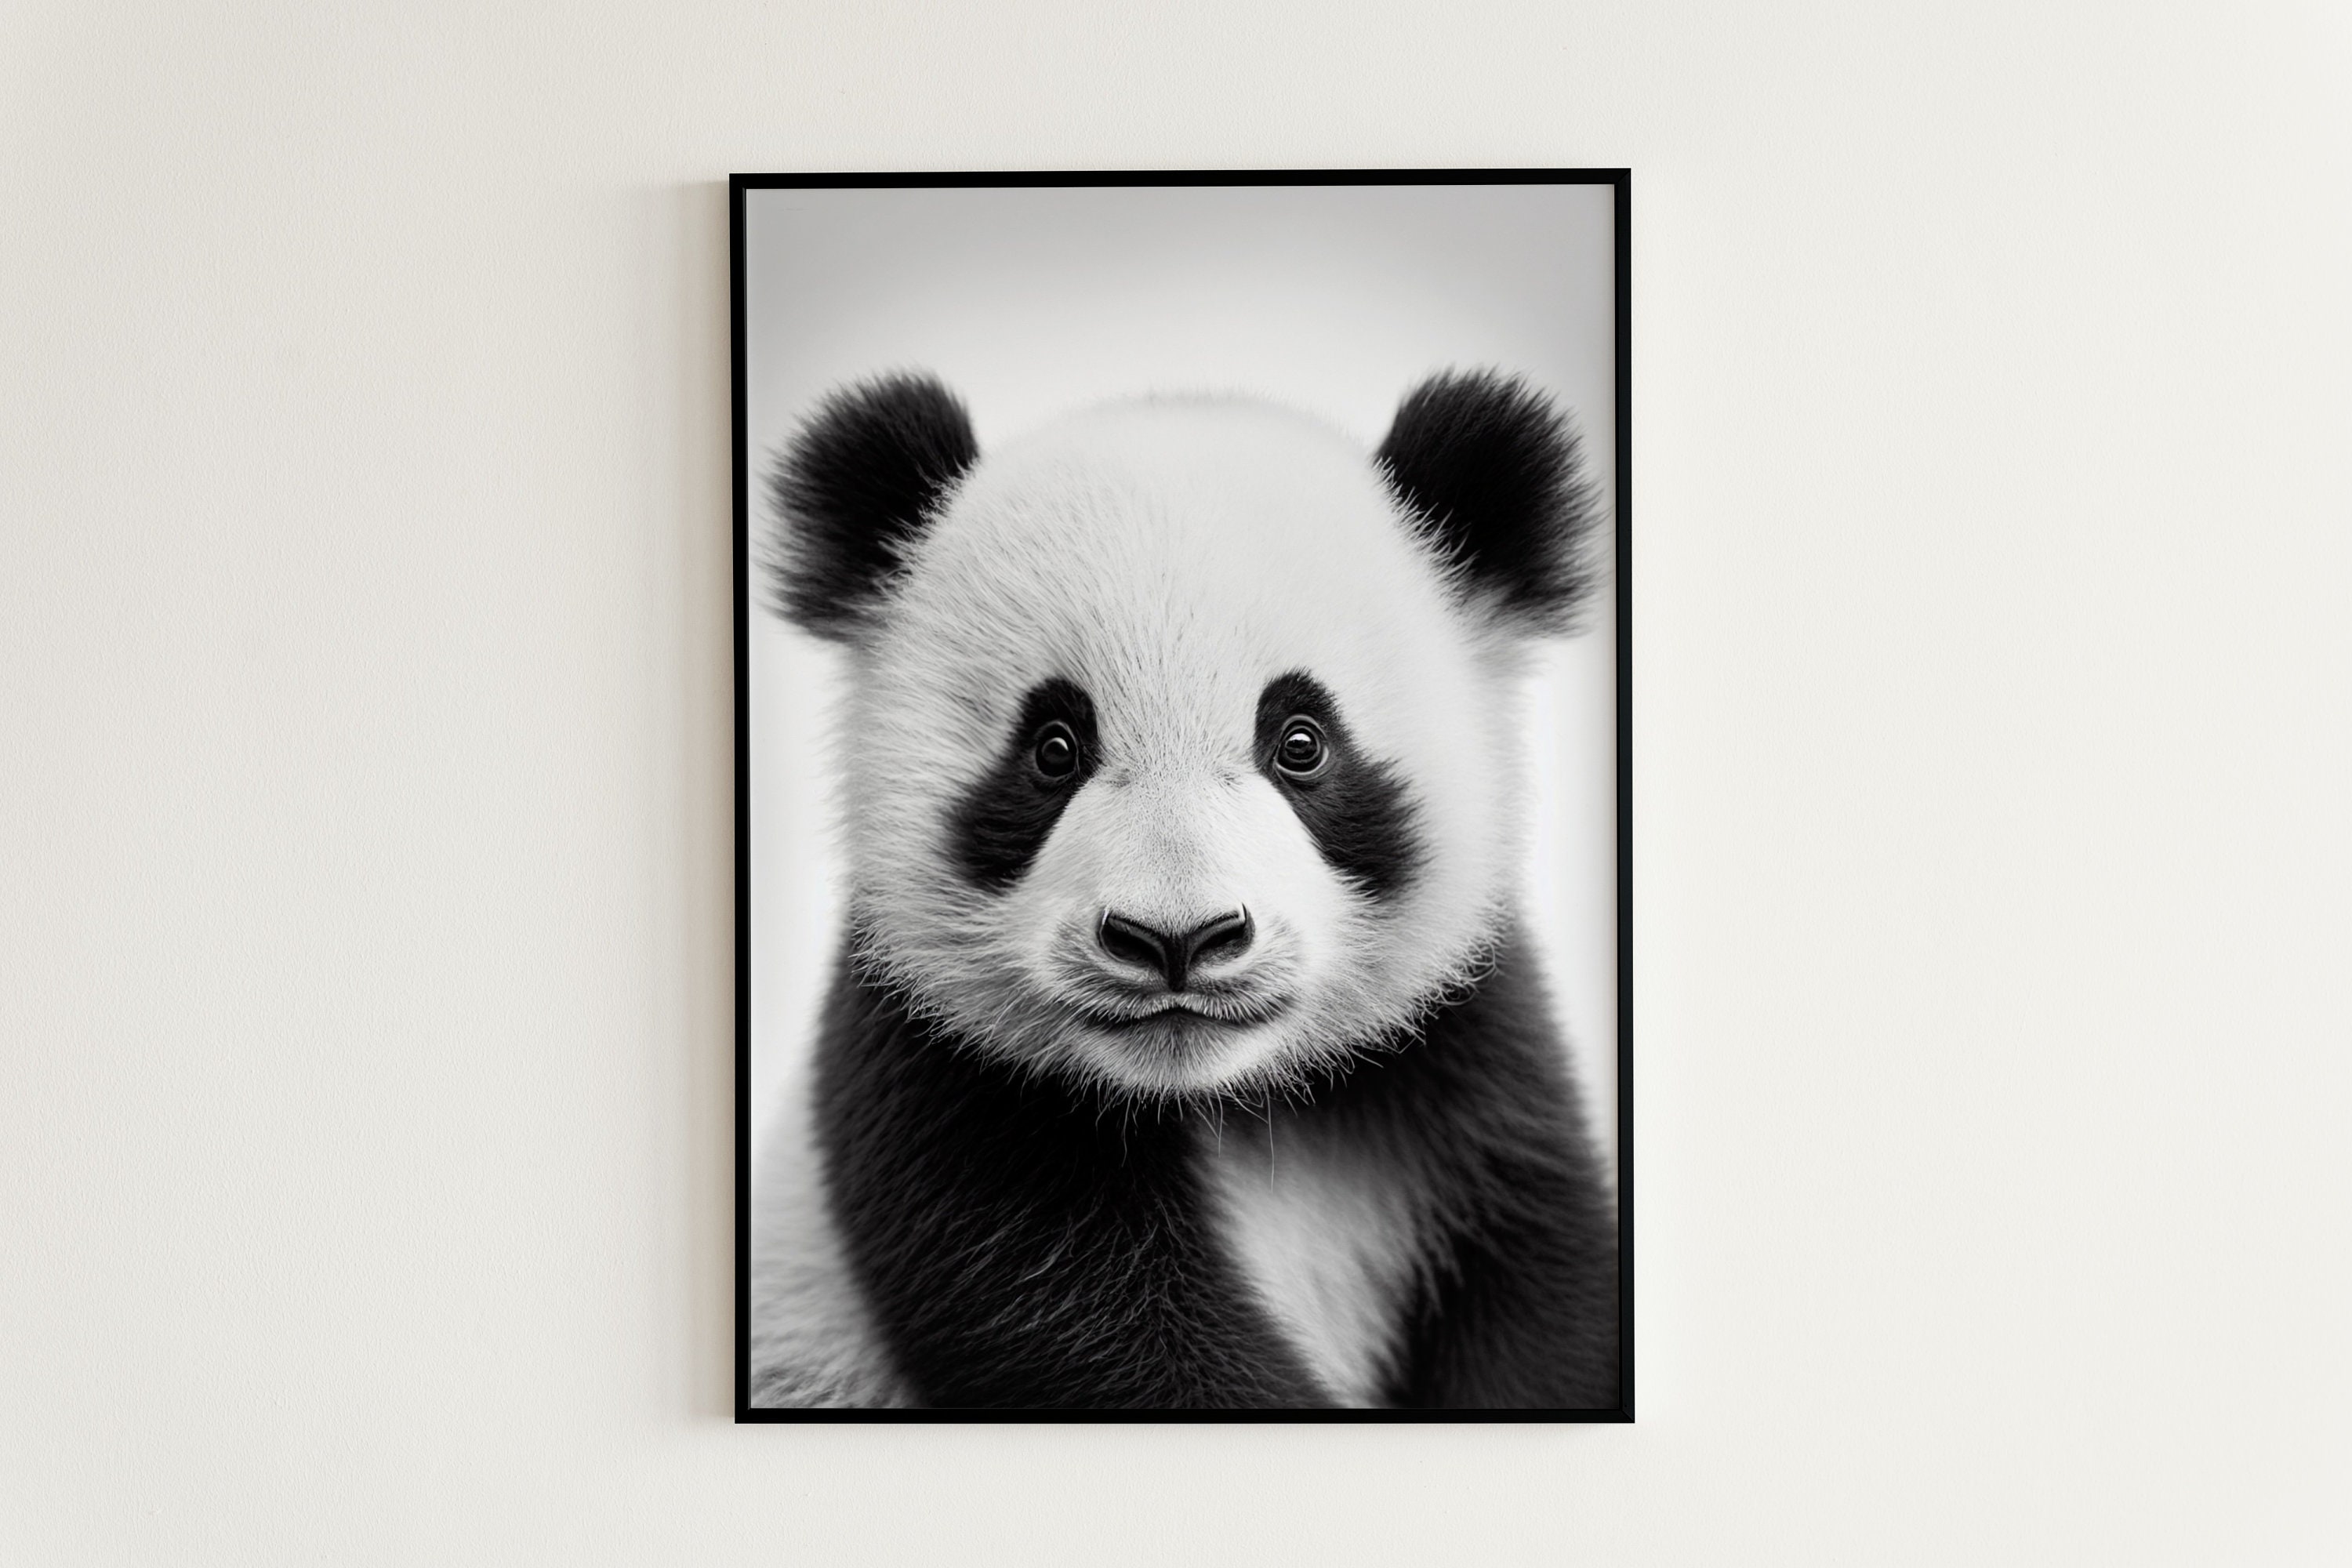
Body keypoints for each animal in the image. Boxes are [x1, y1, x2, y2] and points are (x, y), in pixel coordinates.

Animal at [749, 369, 1618, 1410]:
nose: (1177, 939)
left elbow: (1542, 1273)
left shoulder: (1464, 1056)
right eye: (1052, 749)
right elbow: (1080, 1317)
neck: (1233, 1100)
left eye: (1301, 742)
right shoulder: (941, 1071)